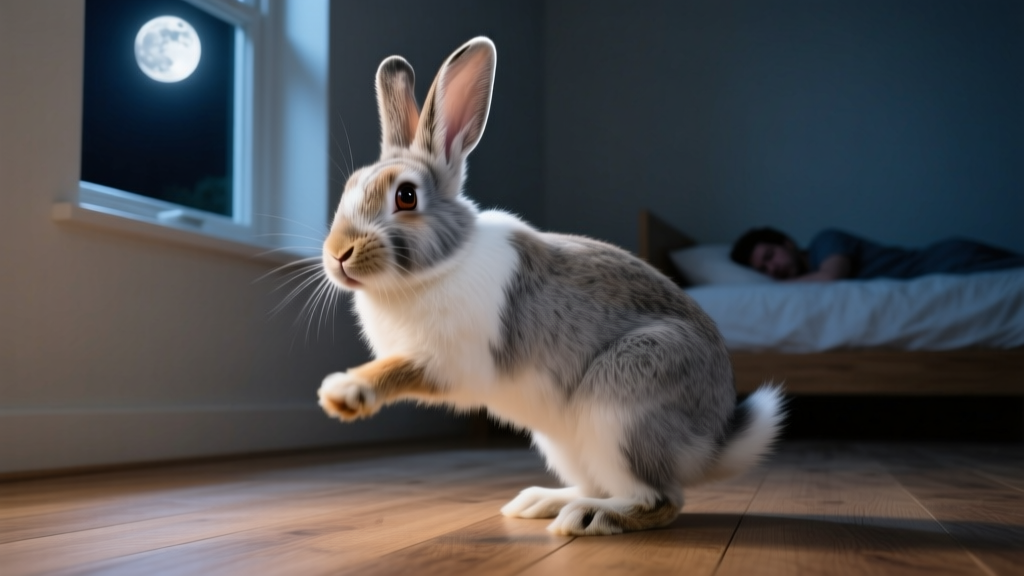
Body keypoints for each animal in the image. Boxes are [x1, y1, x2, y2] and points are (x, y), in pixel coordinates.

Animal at [317, 36, 784, 536]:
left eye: (406, 196)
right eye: (349, 187)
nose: (338, 253)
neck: (442, 264)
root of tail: (713, 443)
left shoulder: (450, 360)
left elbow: (397, 370)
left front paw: (343, 393)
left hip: (621, 410)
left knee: (659, 500)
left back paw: (587, 518)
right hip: (566, 442)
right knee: (605, 485)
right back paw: (539, 501)